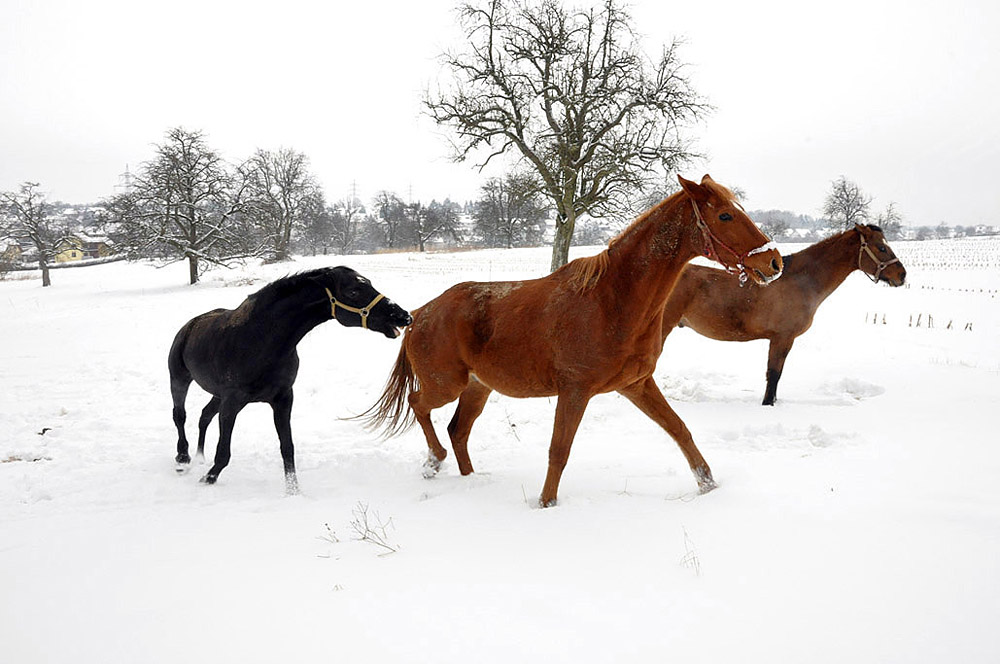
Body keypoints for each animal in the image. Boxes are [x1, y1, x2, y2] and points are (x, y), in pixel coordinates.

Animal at [169, 266, 412, 492]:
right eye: (353, 291)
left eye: (369, 283)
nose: (403, 316)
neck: (258, 340)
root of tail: (188, 326)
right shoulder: (232, 402)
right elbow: (224, 451)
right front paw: (209, 478)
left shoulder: (282, 399)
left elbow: (287, 448)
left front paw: (293, 491)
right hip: (179, 380)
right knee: (180, 415)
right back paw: (183, 459)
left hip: (216, 395)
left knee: (204, 416)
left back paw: (199, 457)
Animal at [363, 175, 784, 506]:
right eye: (725, 215)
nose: (774, 262)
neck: (610, 301)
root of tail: (419, 314)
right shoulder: (575, 390)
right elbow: (559, 451)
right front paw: (545, 504)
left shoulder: (636, 384)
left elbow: (680, 430)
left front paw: (708, 486)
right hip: (446, 384)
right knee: (420, 405)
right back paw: (434, 461)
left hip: (478, 387)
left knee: (458, 430)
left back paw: (470, 479)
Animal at [661, 223, 906, 406]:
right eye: (881, 248)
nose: (902, 275)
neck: (801, 281)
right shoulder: (782, 337)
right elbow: (774, 373)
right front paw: (767, 403)